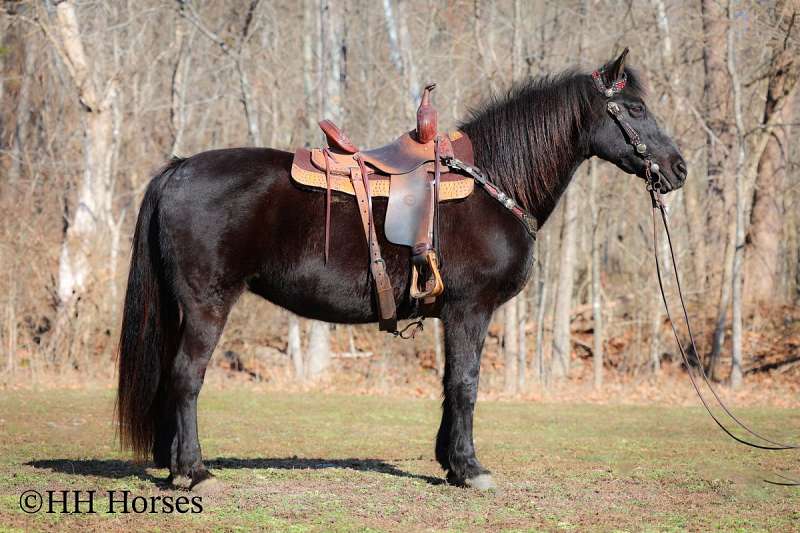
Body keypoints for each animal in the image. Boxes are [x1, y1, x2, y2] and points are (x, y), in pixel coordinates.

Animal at [116, 49, 687, 492]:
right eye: (635, 108)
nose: (678, 168)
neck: (495, 181)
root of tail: (178, 169)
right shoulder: (470, 311)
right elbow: (466, 383)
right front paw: (470, 469)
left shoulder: (451, 315)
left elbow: (449, 383)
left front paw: (450, 463)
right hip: (207, 306)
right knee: (187, 377)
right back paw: (195, 472)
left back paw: (173, 466)